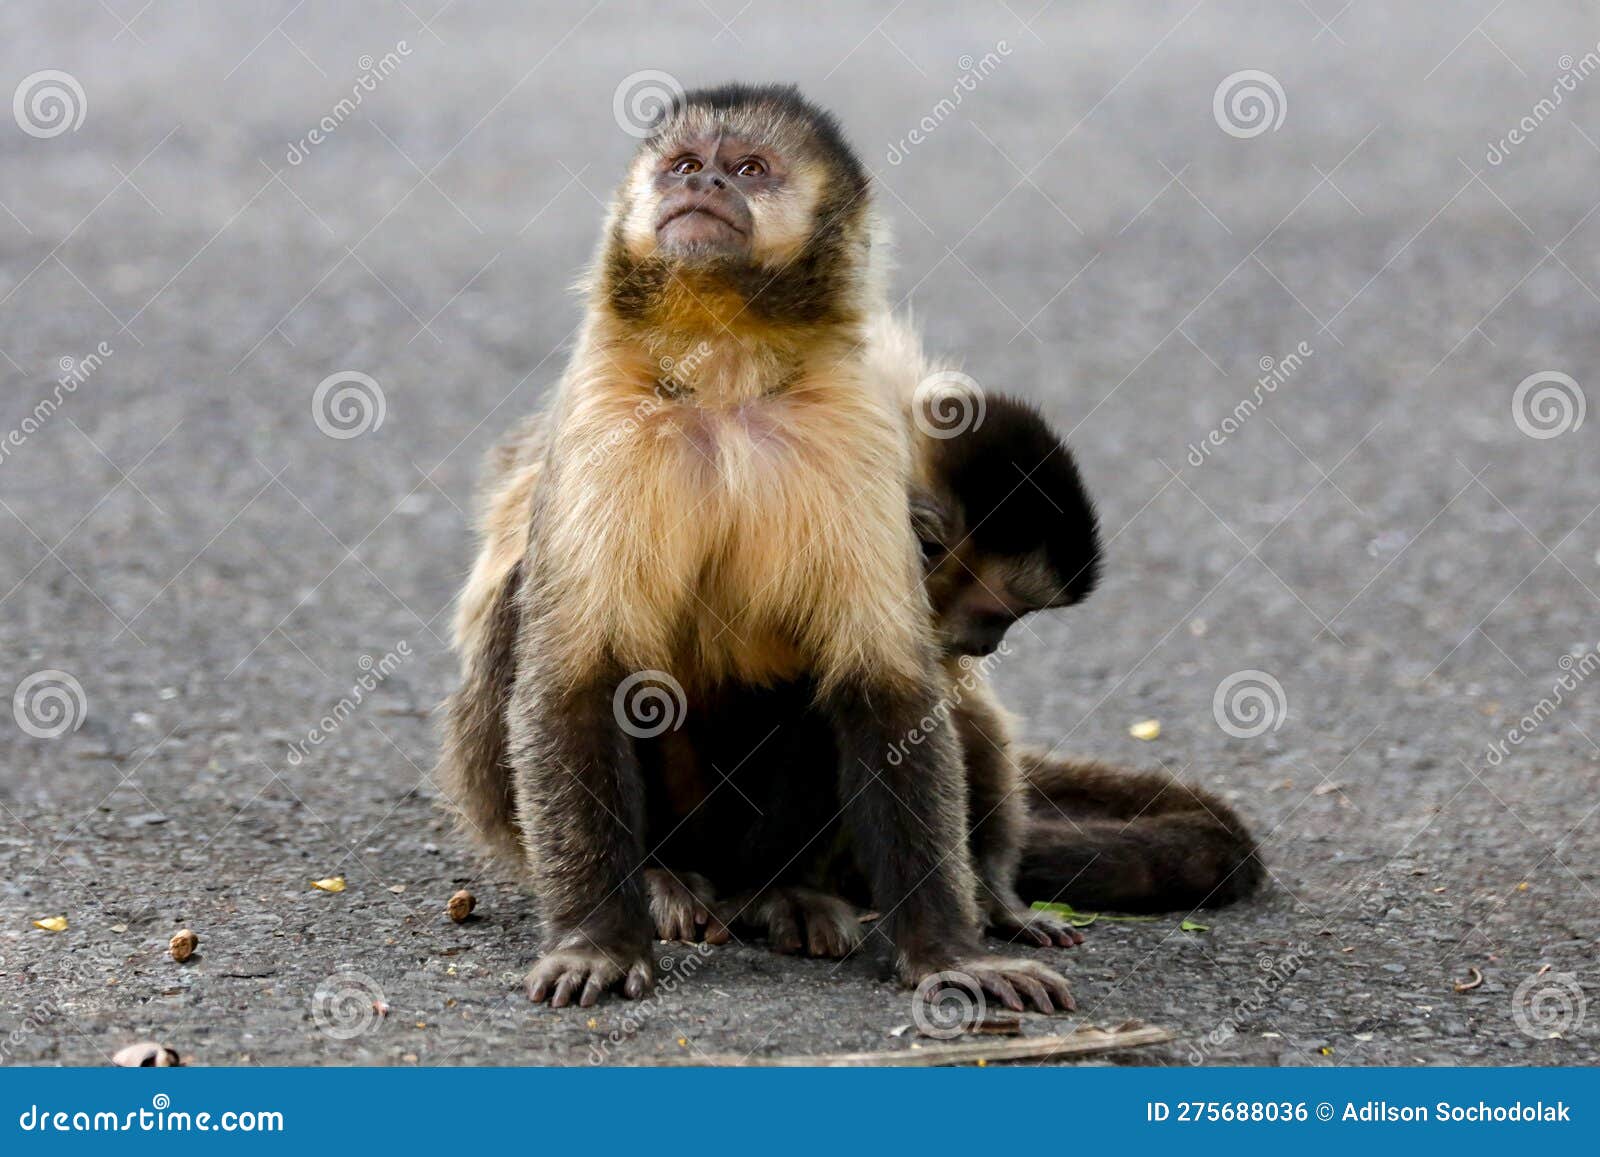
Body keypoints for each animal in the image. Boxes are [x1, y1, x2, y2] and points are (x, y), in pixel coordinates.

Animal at [491, 83, 1074, 1012]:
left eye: (751, 169)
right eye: (684, 165)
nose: (705, 185)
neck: (724, 369)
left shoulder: (856, 418)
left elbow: (888, 686)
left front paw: (948, 951)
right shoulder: (602, 409)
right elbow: (576, 677)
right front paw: (597, 941)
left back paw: (783, 890)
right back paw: (663, 880)